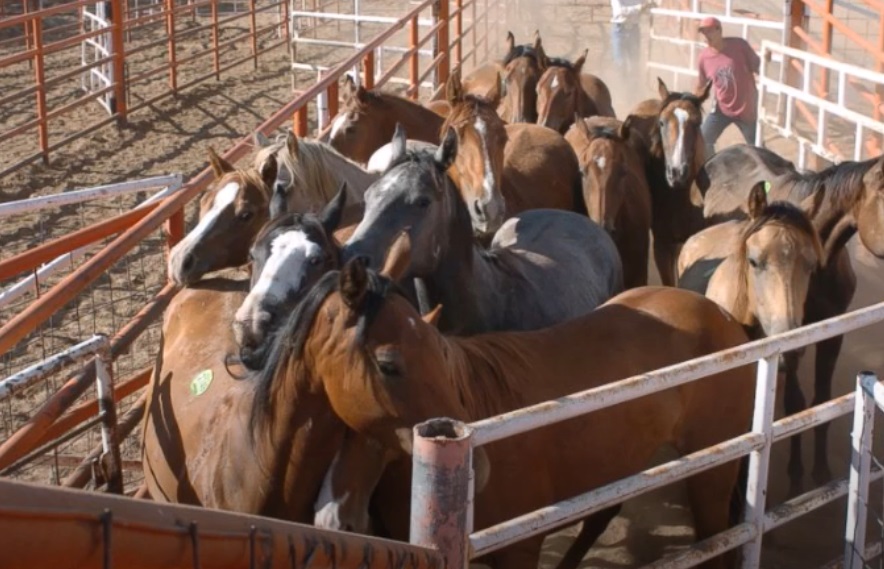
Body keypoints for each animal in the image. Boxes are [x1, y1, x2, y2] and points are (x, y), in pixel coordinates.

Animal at [255, 245, 755, 569]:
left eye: (437, 356)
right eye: (389, 364)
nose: (334, 518)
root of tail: (723, 316)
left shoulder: (519, 551)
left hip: (711, 476)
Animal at [693, 144, 884, 494]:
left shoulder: (832, 332)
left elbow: (822, 398)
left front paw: (821, 470)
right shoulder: (791, 337)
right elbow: (797, 403)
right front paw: (796, 474)